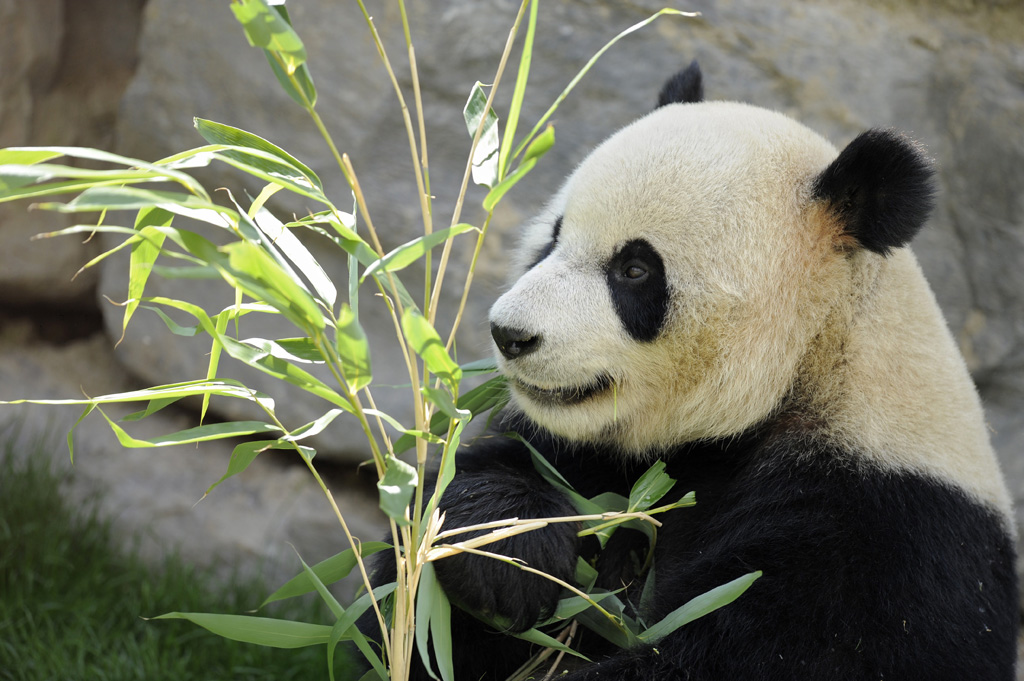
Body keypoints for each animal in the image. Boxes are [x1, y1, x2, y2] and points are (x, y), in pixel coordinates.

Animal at [368, 63, 1019, 680]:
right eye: (552, 238)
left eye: (634, 270)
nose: (510, 334)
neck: (815, 359)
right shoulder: (583, 456)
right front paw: (506, 550)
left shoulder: (882, 539)